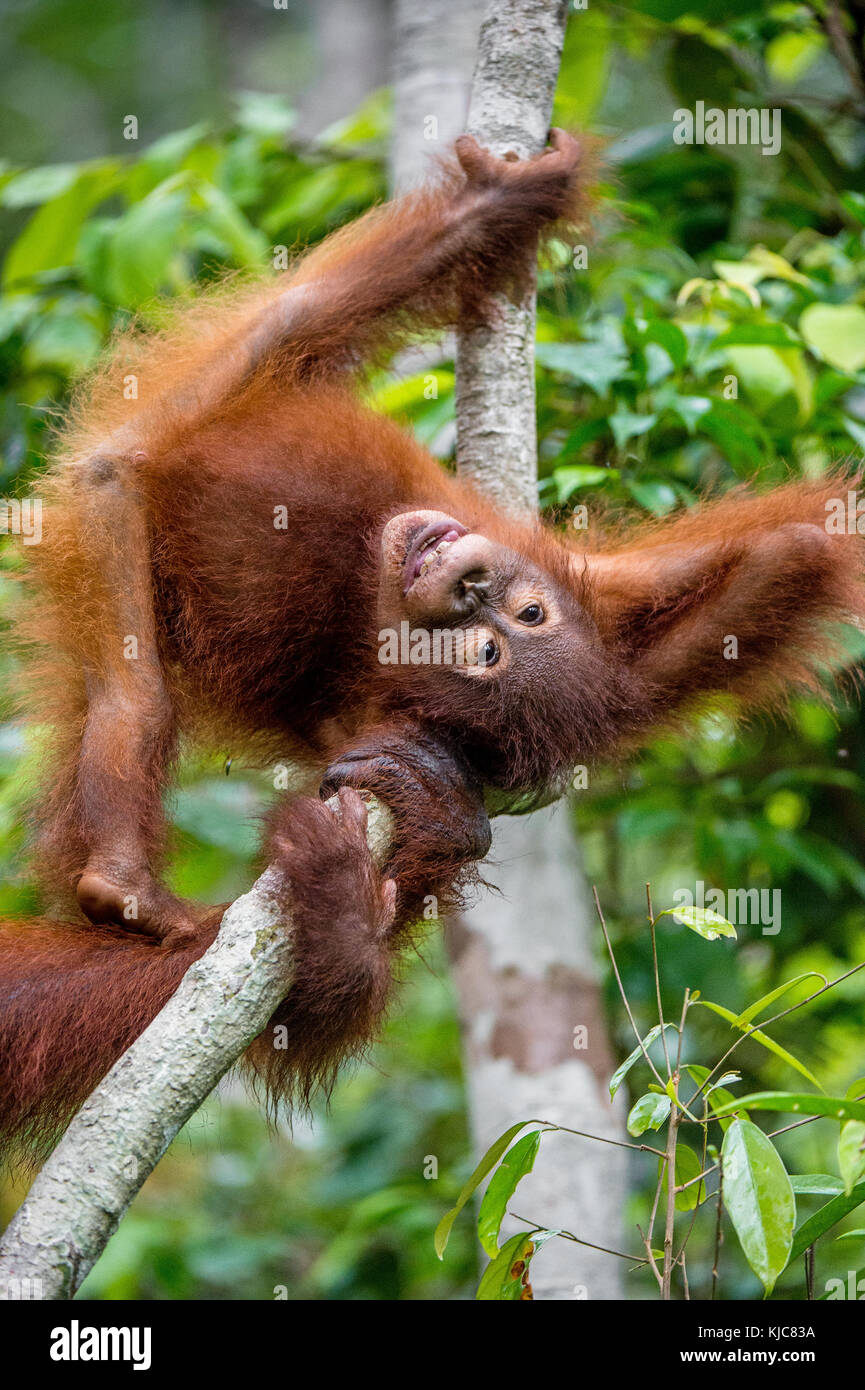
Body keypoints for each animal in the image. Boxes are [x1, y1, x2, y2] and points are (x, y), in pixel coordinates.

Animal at [0, 129, 862, 1157]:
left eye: (494, 652)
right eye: (522, 619)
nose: (473, 586)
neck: (367, 576)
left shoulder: (367, 724)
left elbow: (300, 997)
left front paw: (385, 860)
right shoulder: (595, 596)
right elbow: (786, 556)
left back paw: (123, 878)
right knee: (288, 330)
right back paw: (495, 205)